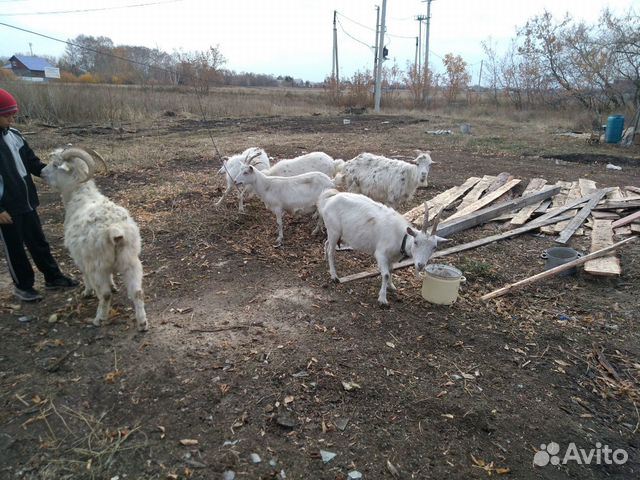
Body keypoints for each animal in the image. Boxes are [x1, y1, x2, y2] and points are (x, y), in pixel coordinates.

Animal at [41, 147, 148, 331]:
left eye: (55, 165)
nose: (41, 172)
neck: (79, 196)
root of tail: (114, 229)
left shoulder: (80, 258)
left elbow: (85, 275)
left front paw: (87, 292)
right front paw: (113, 285)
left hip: (98, 264)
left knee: (104, 295)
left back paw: (99, 319)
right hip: (130, 260)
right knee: (137, 292)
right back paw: (142, 323)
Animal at [317, 189, 447, 306]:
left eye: (434, 247)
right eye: (416, 242)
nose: (420, 265)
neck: (401, 237)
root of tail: (327, 200)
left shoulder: (391, 257)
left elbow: (391, 270)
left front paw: (391, 286)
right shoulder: (381, 254)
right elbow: (385, 274)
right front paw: (383, 299)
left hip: (334, 232)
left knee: (327, 244)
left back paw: (325, 260)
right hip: (334, 230)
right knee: (331, 251)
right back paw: (334, 276)